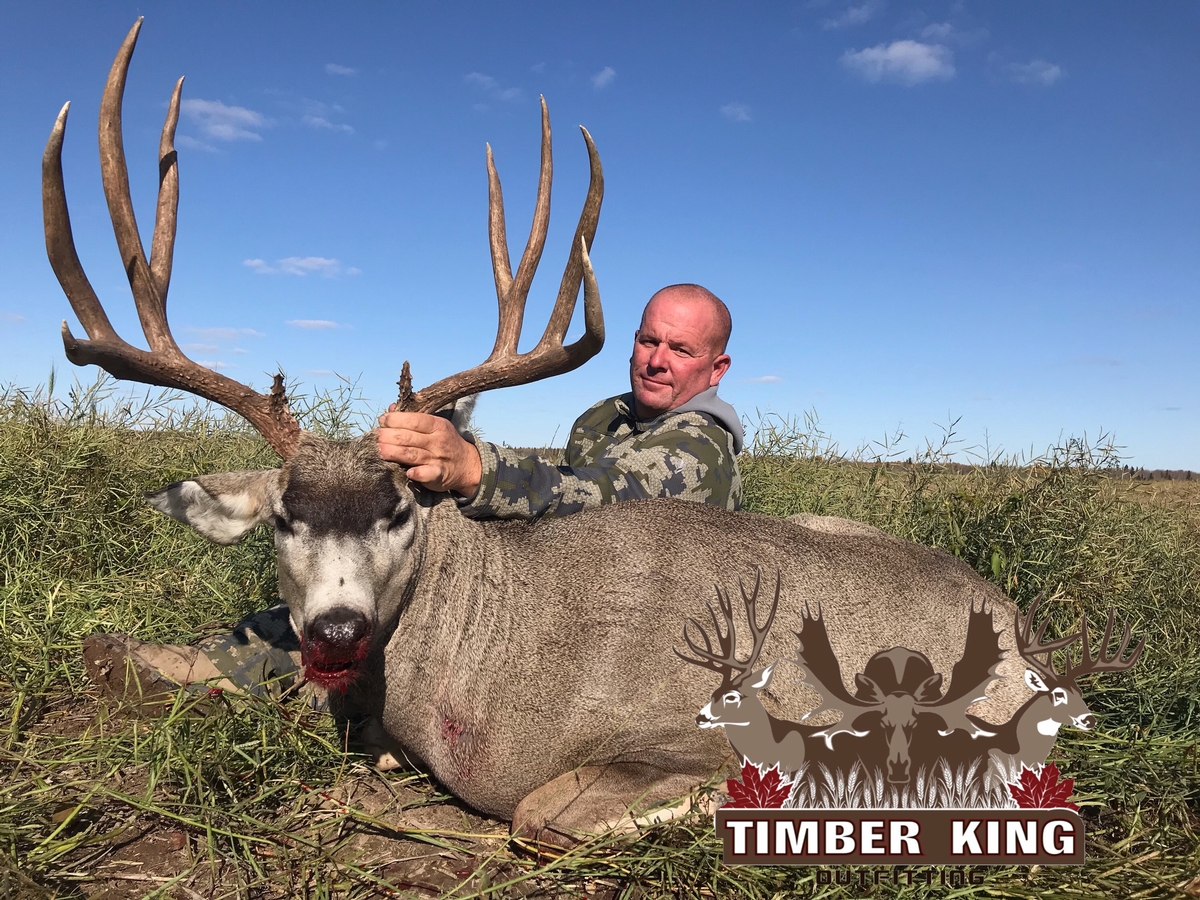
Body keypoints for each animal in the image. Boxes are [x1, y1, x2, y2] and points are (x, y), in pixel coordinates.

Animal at [45, 19, 1042, 845]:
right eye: (287, 518)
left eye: (398, 512)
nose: (333, 630)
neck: (478, 666)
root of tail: (1017, 622)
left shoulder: (698, 726)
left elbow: (541, 813)